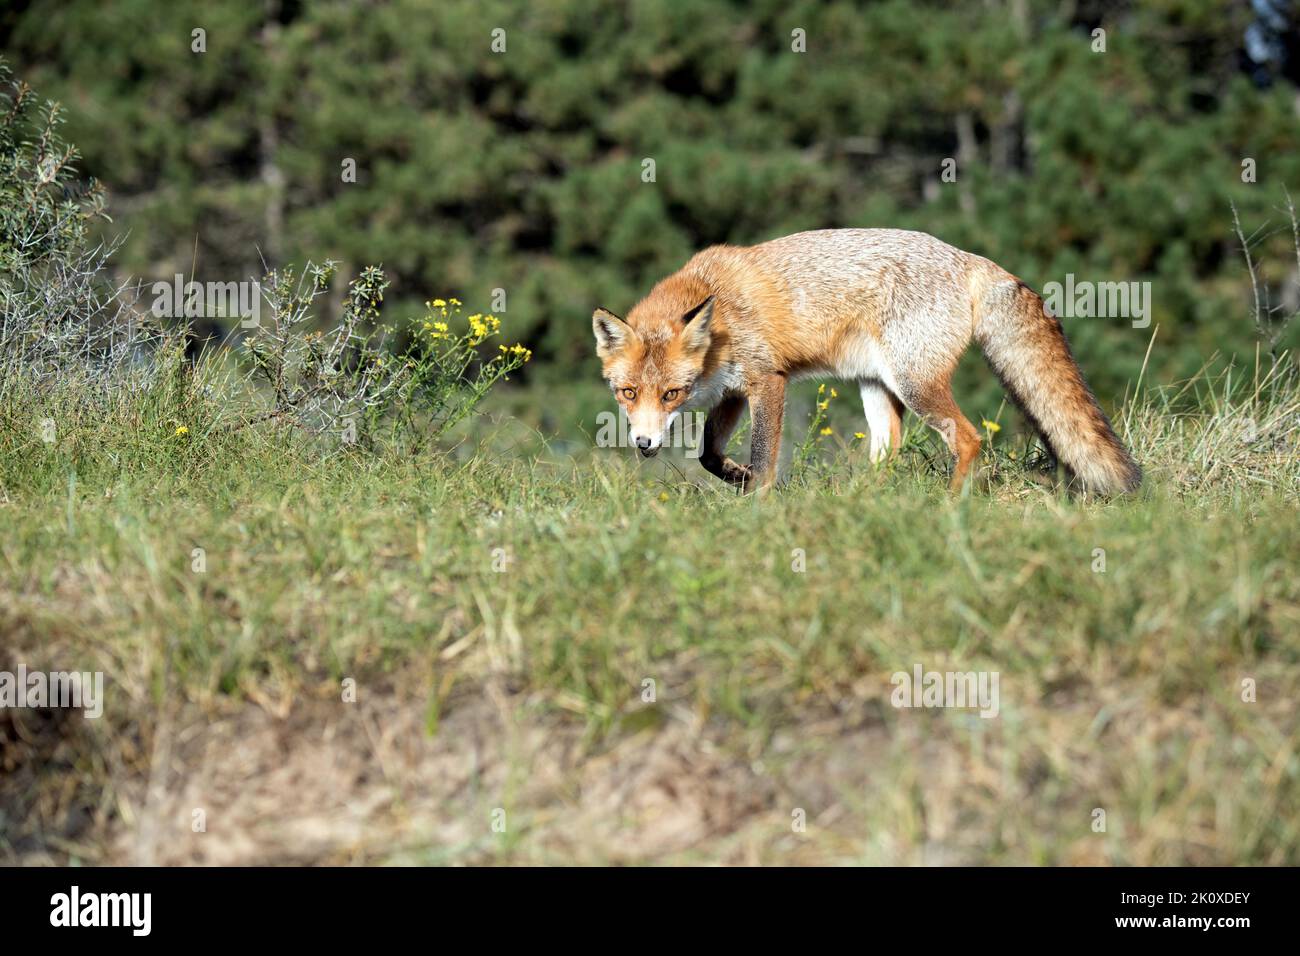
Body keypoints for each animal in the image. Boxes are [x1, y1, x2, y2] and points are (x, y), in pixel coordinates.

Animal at [592, 228, 1141, 495]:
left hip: (915, 385)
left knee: (968, 438)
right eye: (628, 393)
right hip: (877, 386)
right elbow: (708, 453)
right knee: (888, 450)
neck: (719, 306)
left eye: (671, 394)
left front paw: (759, 499)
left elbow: (764, 456)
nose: (643, 444)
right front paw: (738, 479)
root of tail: (969, 258)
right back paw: (864, 501)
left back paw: (946, 505)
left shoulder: (767, 380)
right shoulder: (732, 390)